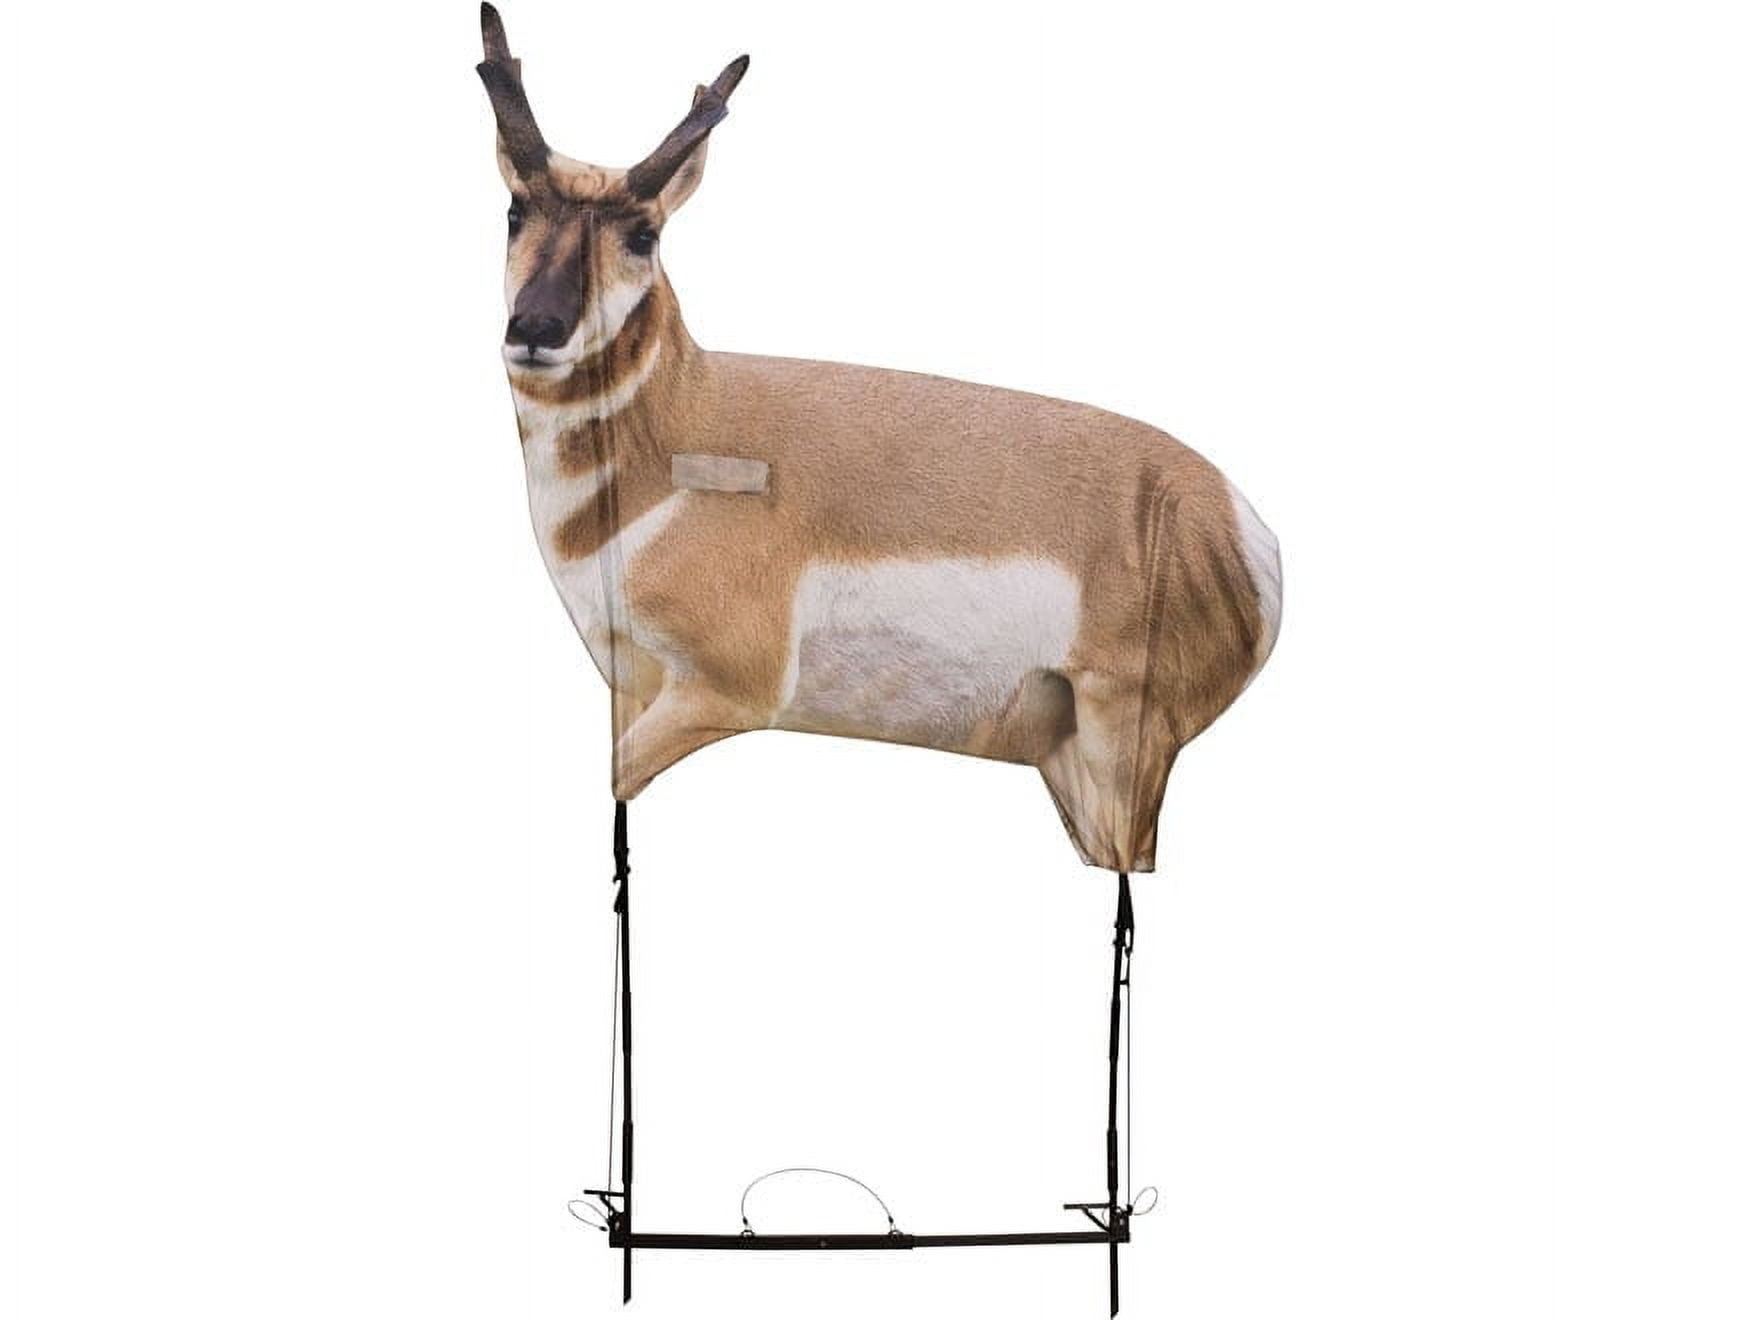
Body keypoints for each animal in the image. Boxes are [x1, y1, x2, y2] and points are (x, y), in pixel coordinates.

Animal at [477, 5, 1281, 873]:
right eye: (514, 212)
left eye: (643, 235)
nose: (536, 328)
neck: (685, 428)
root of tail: (1236, 521)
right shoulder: (631, 683)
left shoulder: (723, 691)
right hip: (1067, 760)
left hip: (1120, 744)